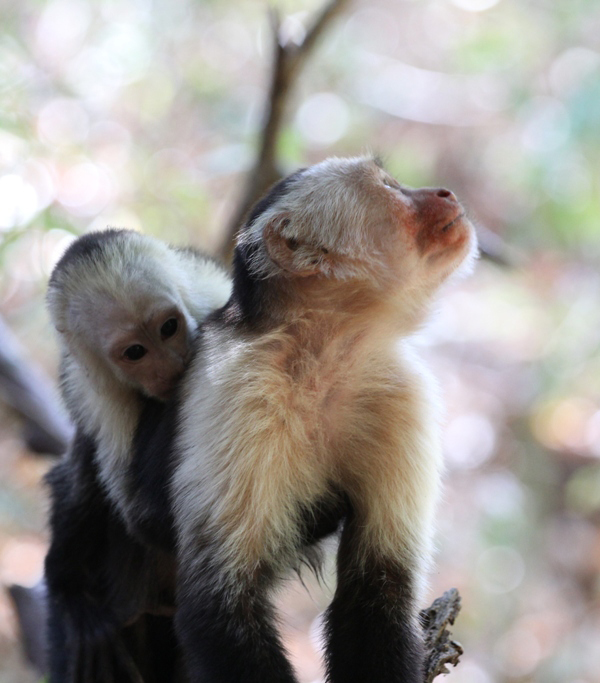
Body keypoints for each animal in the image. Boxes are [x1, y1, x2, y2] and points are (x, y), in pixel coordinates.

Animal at [44, 229, 232, 682]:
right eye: (135, 353)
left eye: (168, 328)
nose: (171, 368)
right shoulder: (98, 395)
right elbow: (146, 518)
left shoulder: (212, 291)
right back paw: (70, 591)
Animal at [131, 156, 478, 683]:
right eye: (389, 187)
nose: (445, 192)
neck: (321, 357)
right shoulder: (236, 390)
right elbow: (220, 607)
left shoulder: (400, 394)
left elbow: (376, 590)